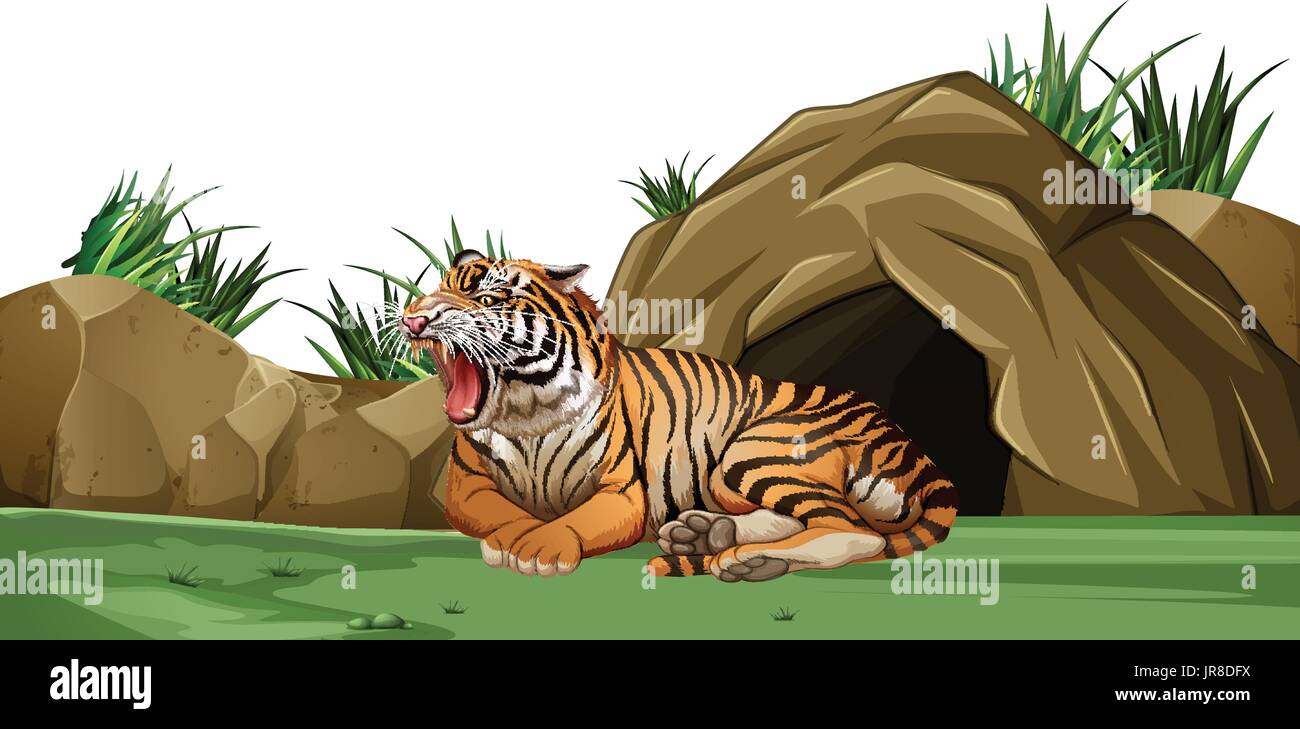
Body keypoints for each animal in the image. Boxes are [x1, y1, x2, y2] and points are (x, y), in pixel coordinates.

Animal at [400, 249, 958, 582]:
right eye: (436, 287)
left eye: (487, 296)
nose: (413, 318)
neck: (526, 410)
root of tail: (909, 441)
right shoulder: (467, 488)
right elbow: (505, 514)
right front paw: (510, 541)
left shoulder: (621, 493)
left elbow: (569, 522)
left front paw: (538, 547)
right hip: (728, 478)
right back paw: (709, 536)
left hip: (755, 451)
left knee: (855, 530)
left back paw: (741, 558)